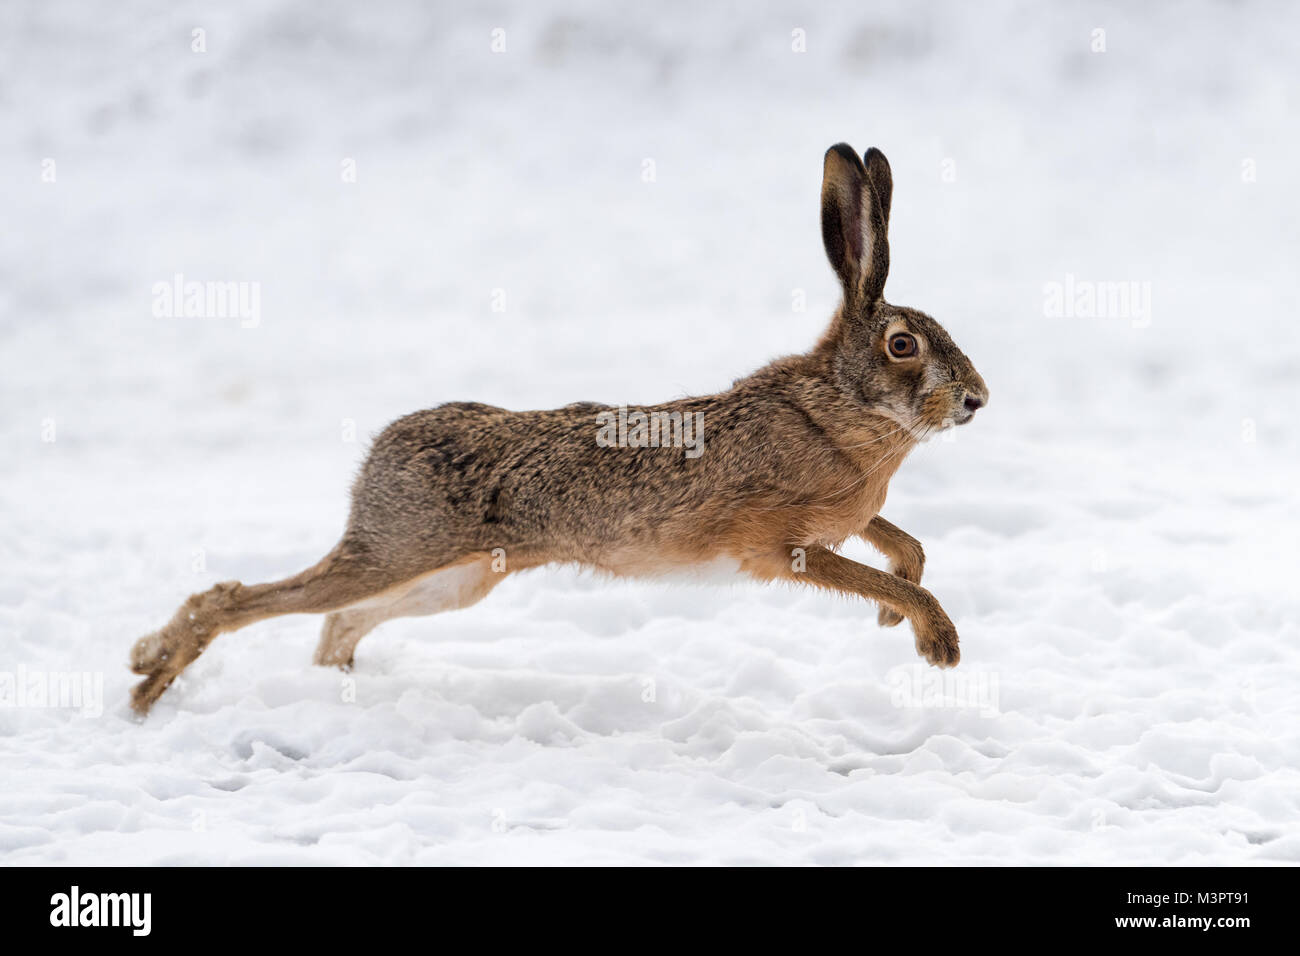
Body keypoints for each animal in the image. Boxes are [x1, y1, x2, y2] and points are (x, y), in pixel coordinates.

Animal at [129, 143, 988, 715]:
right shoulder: (781, 546)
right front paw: (936, 642)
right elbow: (885, 569)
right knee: (241, 598)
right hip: (401, 549)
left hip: (459, 576)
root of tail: (381, 450)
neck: (837, 408)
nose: (977, 399)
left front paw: (893, 616)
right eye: (903, 345)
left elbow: (905, 543)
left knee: (339, 622)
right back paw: (149, 676)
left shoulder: (848, 516)